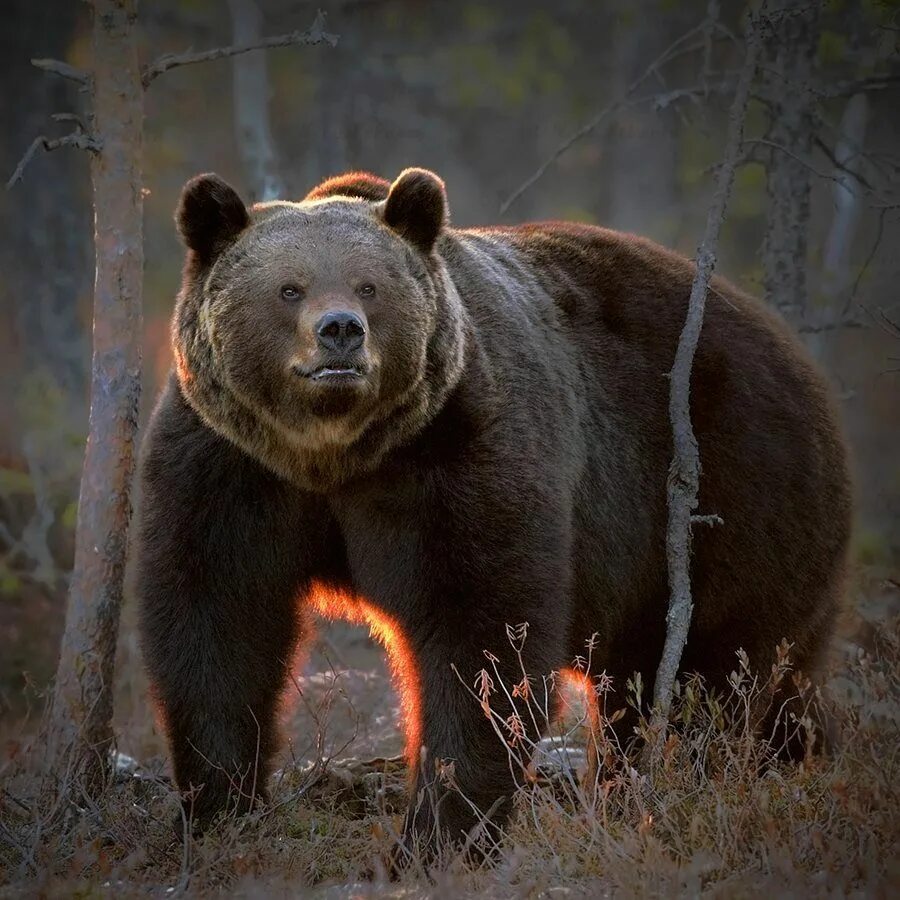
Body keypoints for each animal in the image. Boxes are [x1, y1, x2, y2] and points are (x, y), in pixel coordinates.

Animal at [137, 167, 856, 856]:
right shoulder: (230, 464)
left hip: (736, 491)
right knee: (723, 680)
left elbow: (481, 641)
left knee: (711, 678)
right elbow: (217, 622)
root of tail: (800, 359)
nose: (339, 331)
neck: (336, 453)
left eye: (370, 286)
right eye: (289, 288)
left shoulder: (462, 453)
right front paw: (217, 806)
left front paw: (439, 836)